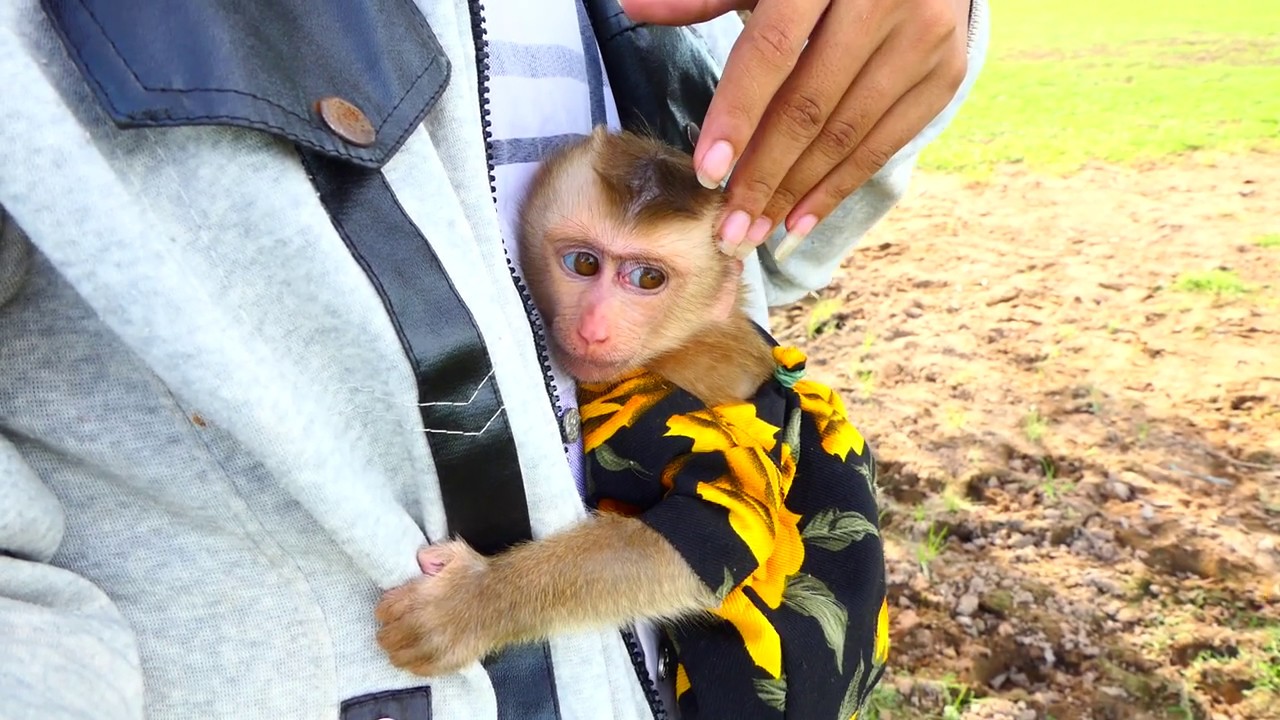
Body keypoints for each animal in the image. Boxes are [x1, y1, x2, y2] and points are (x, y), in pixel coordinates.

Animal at [375, 127, 888, 719]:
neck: (680, 342)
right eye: (583, 264)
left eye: (647, 278)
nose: (594, 328)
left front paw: (474, 602)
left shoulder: (700, 411)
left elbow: (718, 531)